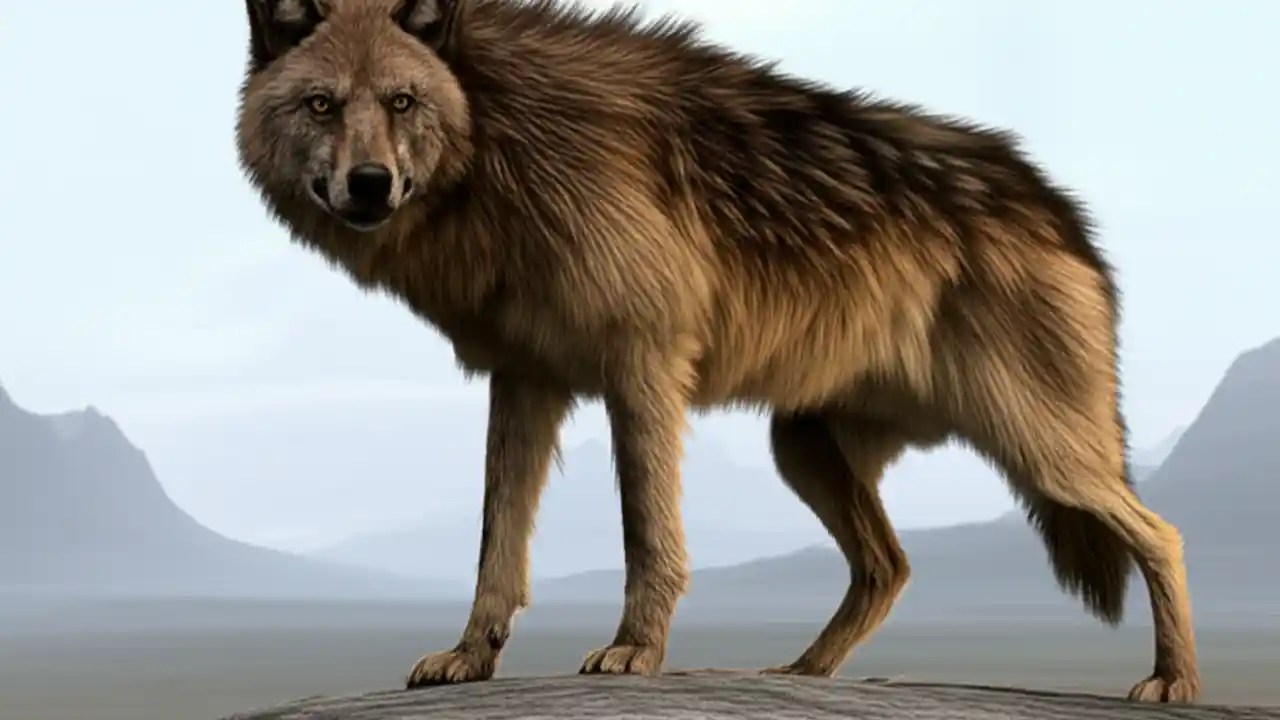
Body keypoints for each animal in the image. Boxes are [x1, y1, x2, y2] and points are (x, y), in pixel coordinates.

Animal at [236, 0, 1200, 703]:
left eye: (402, 101)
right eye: (322, 103)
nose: (369, 185)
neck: (504, 143)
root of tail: (1058, 207)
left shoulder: (642, 366)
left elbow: (646, 534)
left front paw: (634, 650)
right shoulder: (526, 379)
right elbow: (495, 546)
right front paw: (470, 658)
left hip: (1041, 452)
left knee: (1161, 533)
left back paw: (1174, 680)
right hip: (802, 447)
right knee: (887, 565)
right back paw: (805, 674)